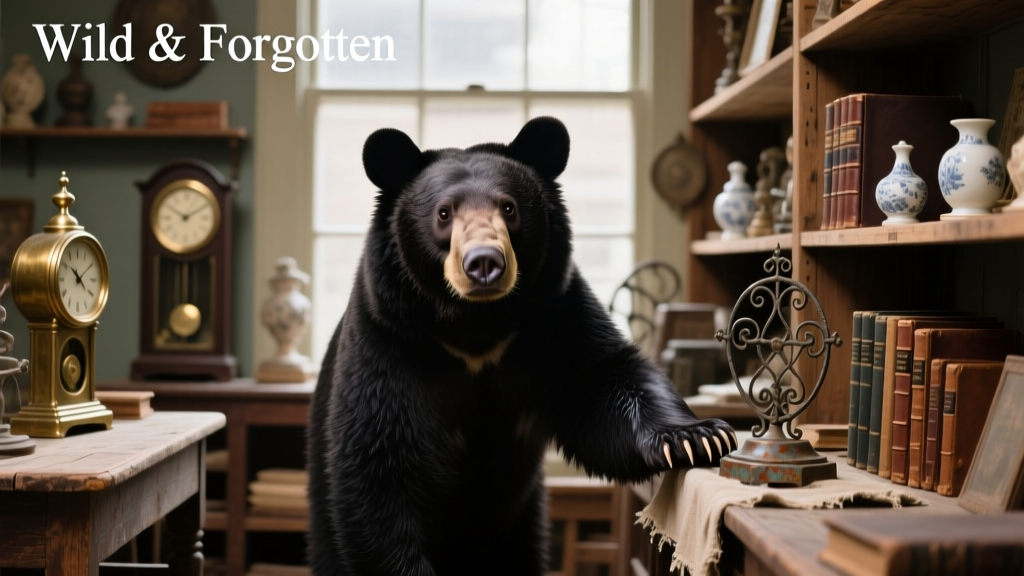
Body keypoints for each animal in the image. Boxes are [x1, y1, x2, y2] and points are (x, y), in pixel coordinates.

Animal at [306, 116, 737, 576]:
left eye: (509, 207)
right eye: (444, 213)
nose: (483, 263)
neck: (477, 327)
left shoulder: (553, 317)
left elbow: (604, 379)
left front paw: (699, 437)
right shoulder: (392, 338)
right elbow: (381, 459)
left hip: (523, 518)